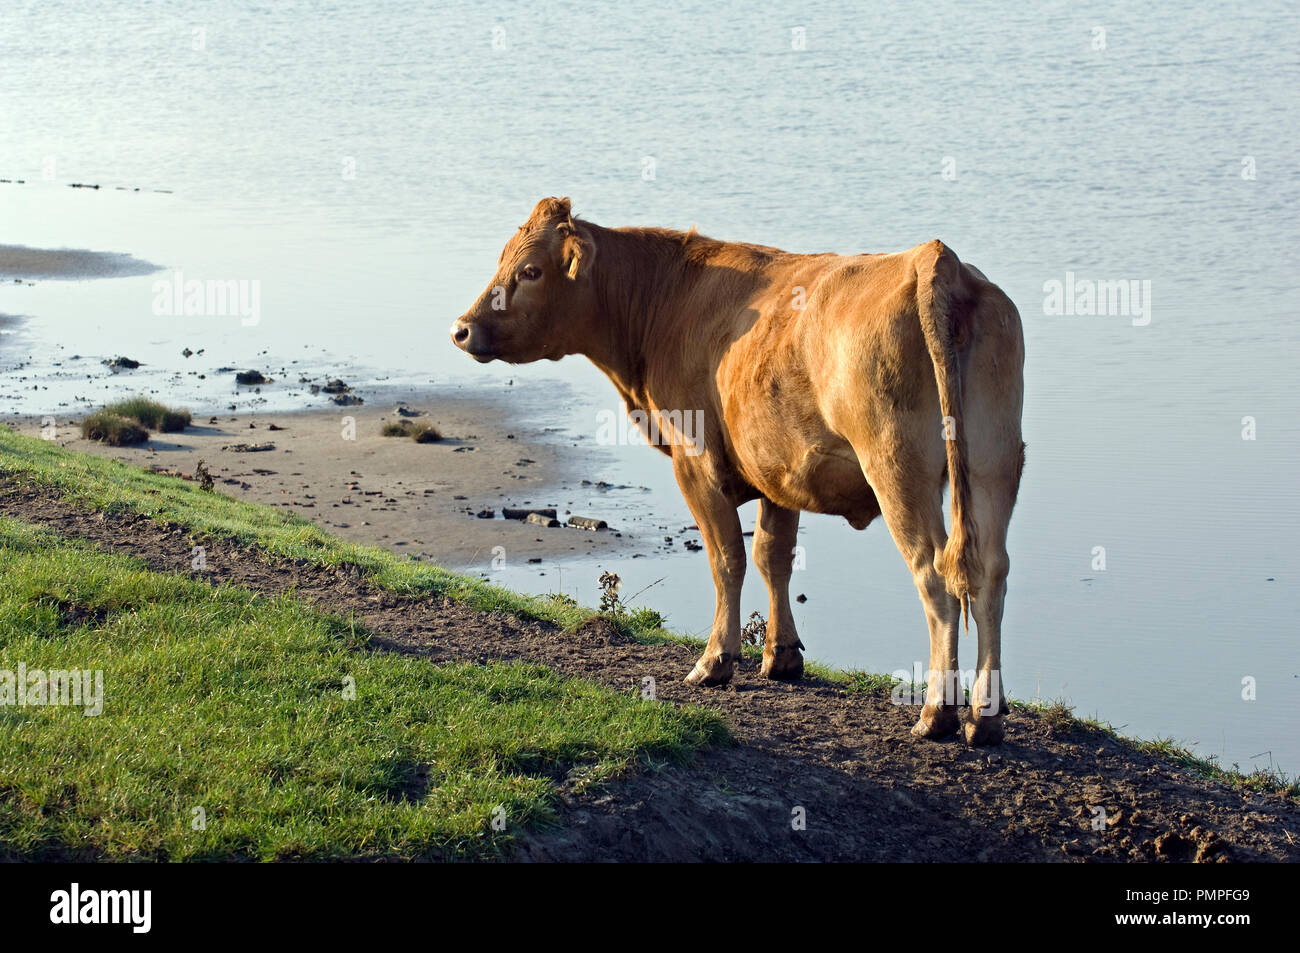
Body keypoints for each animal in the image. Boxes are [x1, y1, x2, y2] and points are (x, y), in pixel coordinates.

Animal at [452, 197, 1025, 745]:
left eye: (529, 270)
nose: (461, 329)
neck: (666, 298)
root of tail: (932, 260)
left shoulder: (696, 461)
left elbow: (727, 558)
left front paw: (715, 662)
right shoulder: (781, 468)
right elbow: (774, 556)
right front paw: (782, 656)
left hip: (896, 469)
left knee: (936, 575)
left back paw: (936, 714)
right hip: (994, 460)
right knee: (990, 572)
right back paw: (985, 719)